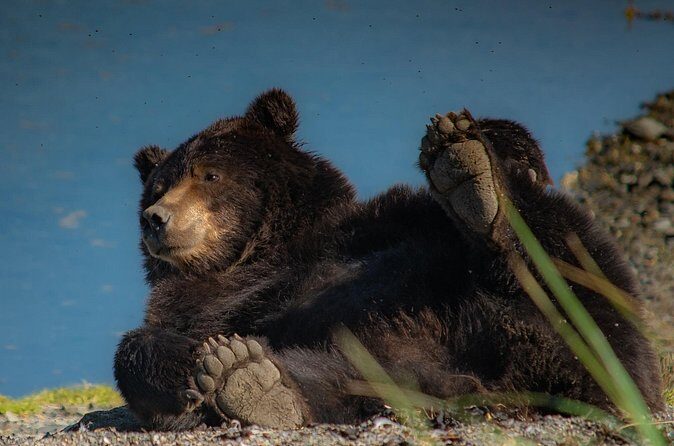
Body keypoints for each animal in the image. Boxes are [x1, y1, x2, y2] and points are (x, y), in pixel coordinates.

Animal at [114, 89, 664, 430]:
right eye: (157, 187)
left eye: (209, 174)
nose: (156, 219)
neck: (260, 254)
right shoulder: (207, 306)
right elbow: (141, 347)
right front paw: (198, 360)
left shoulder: (380, 226)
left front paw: (468, 149)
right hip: (381, 367)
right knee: (333, 382)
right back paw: (249, 380)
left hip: (570, 304)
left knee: (570, 271)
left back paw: (475, 186)